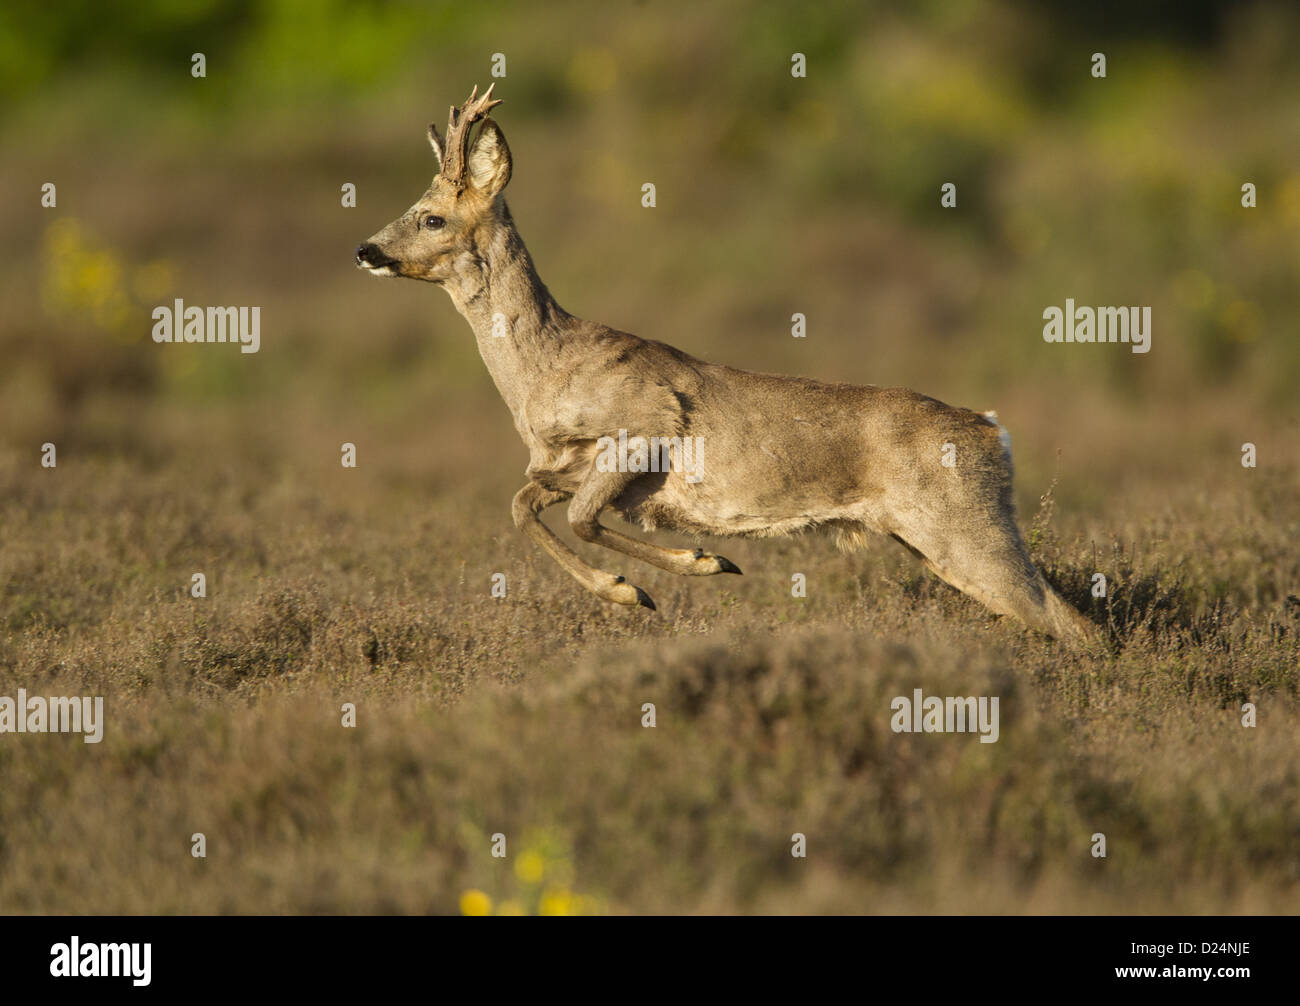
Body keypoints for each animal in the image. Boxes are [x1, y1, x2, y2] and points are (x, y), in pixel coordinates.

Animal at [355, 85, 1101, 648]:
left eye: (431, 217)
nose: (365, 249)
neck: (545, 372)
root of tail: (993, 431)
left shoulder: (643, 427)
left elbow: (583, 520)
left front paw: (691, 567)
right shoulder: (562, 465)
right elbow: (521, 507)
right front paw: (637, 587)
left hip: (964, 527)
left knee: (1070, 621)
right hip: (934, 538)